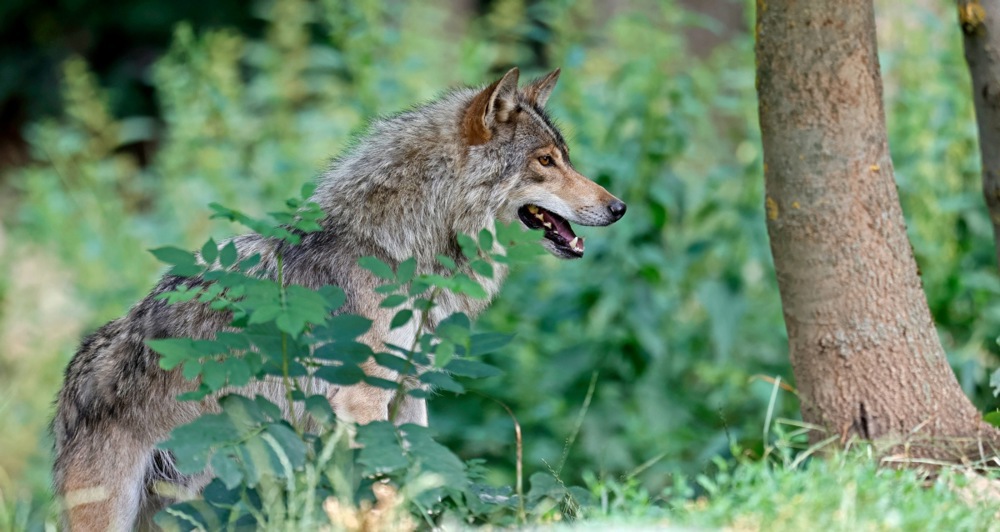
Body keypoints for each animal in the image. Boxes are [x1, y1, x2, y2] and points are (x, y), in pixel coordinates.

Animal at [52, 67, 626, 530]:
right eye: (545, 161)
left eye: (565, 158)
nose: (619, 207)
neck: (400, 246)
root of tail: (72, 379)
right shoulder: (361, 400)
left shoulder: (407, 392)